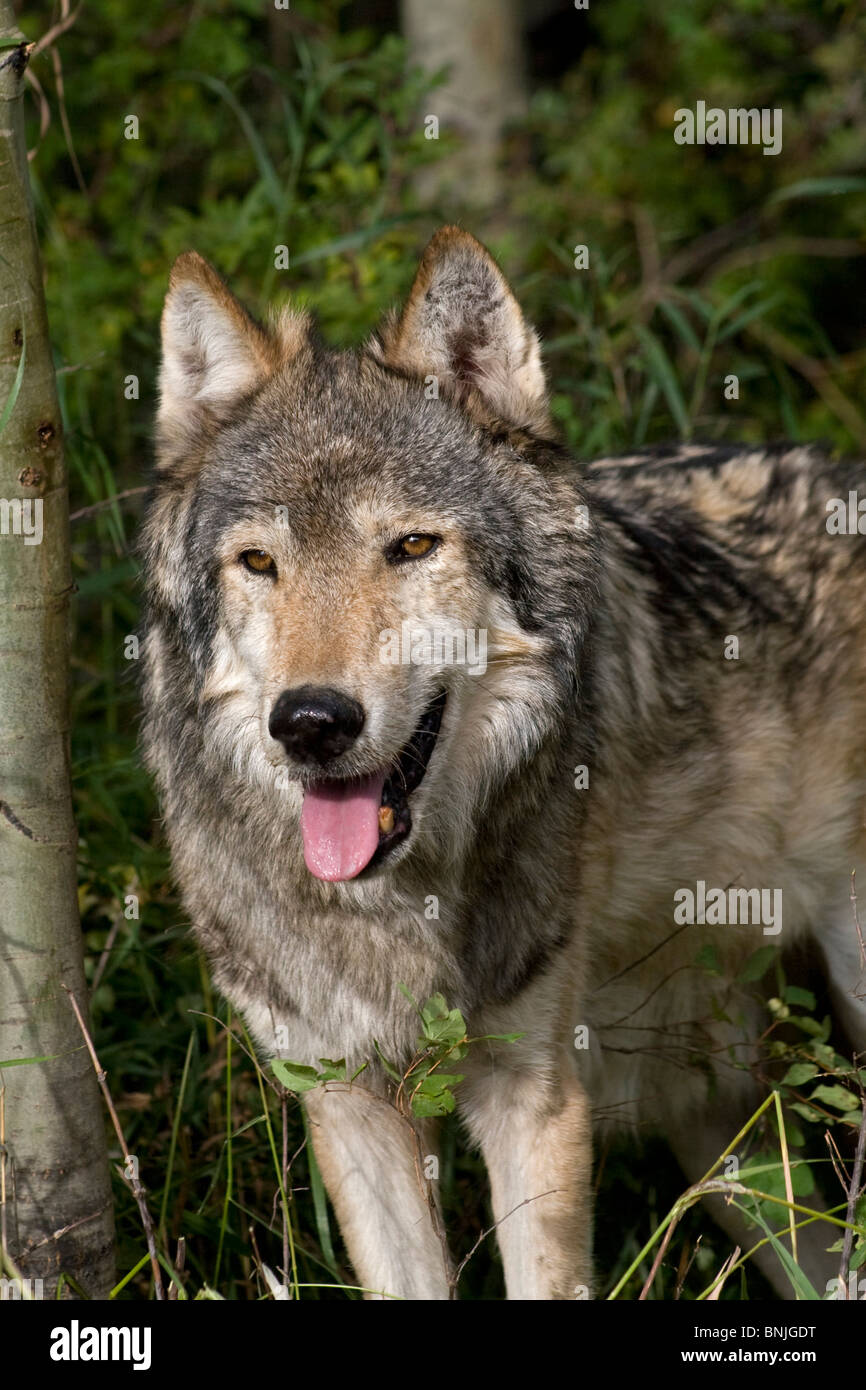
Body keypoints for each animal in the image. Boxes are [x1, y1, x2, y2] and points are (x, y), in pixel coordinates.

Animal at [141, 226, 866, 1300]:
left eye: (411, 546)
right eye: (259, 563)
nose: (309, 722)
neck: (396, 905)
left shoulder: (536, 1101)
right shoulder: (348, 1105)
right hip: (730, 1151)